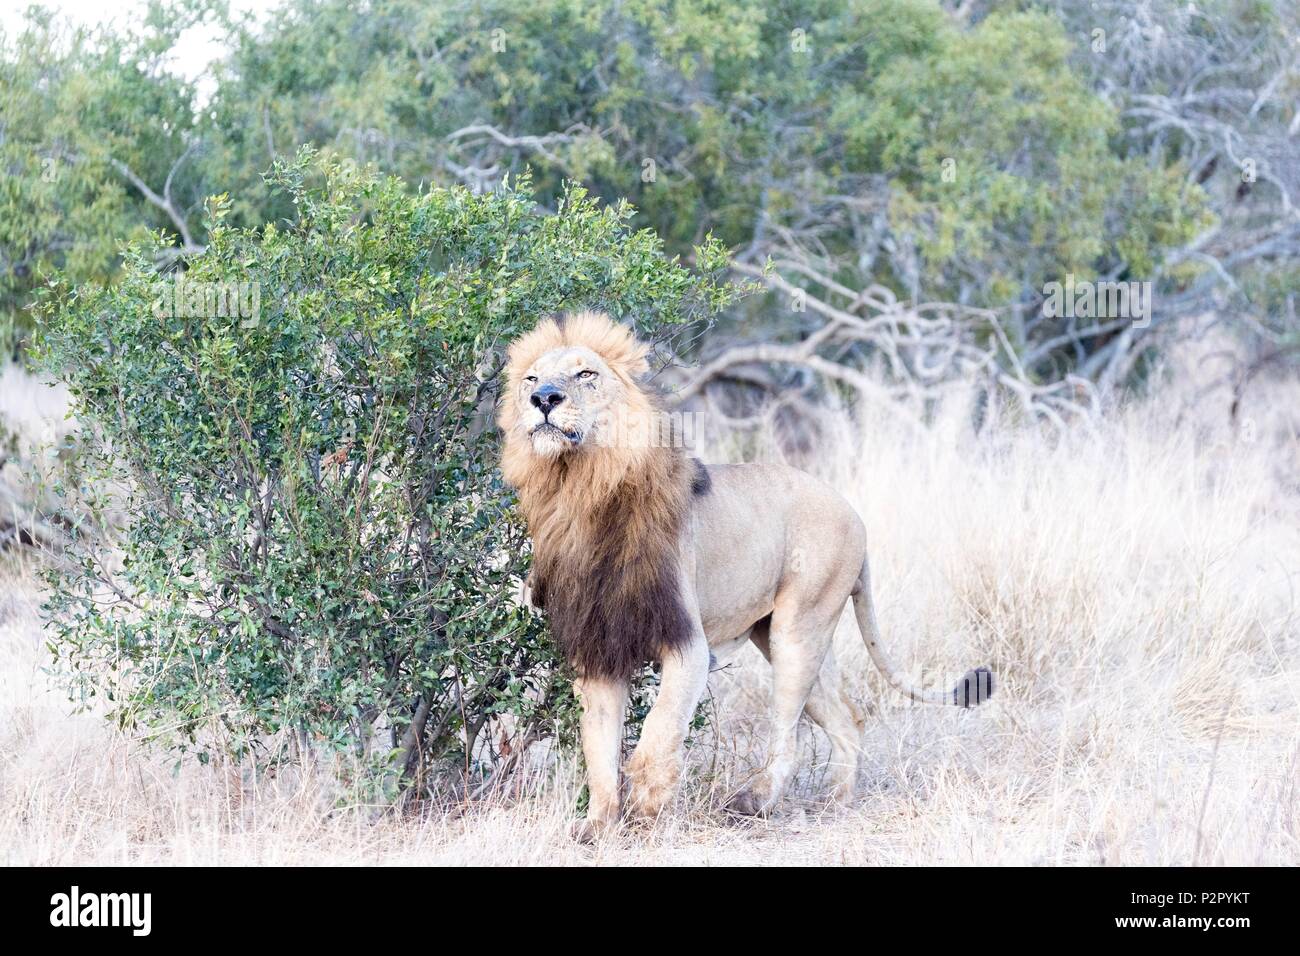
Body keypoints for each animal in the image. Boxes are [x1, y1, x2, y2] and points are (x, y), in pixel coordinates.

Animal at [498, 310, 993, 840]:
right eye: (531, 379)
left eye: (585, 373)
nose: (544, 399)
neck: (581, 489)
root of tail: (854, 513)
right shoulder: (597, 649)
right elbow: (598, 747)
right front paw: (597, 825)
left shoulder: (687, 644)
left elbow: (660, 728)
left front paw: (649, 808)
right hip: (782, 634)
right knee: (847, 718)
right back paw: (836, 800)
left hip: (799, 628)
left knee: (787, 733)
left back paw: (754, 802)